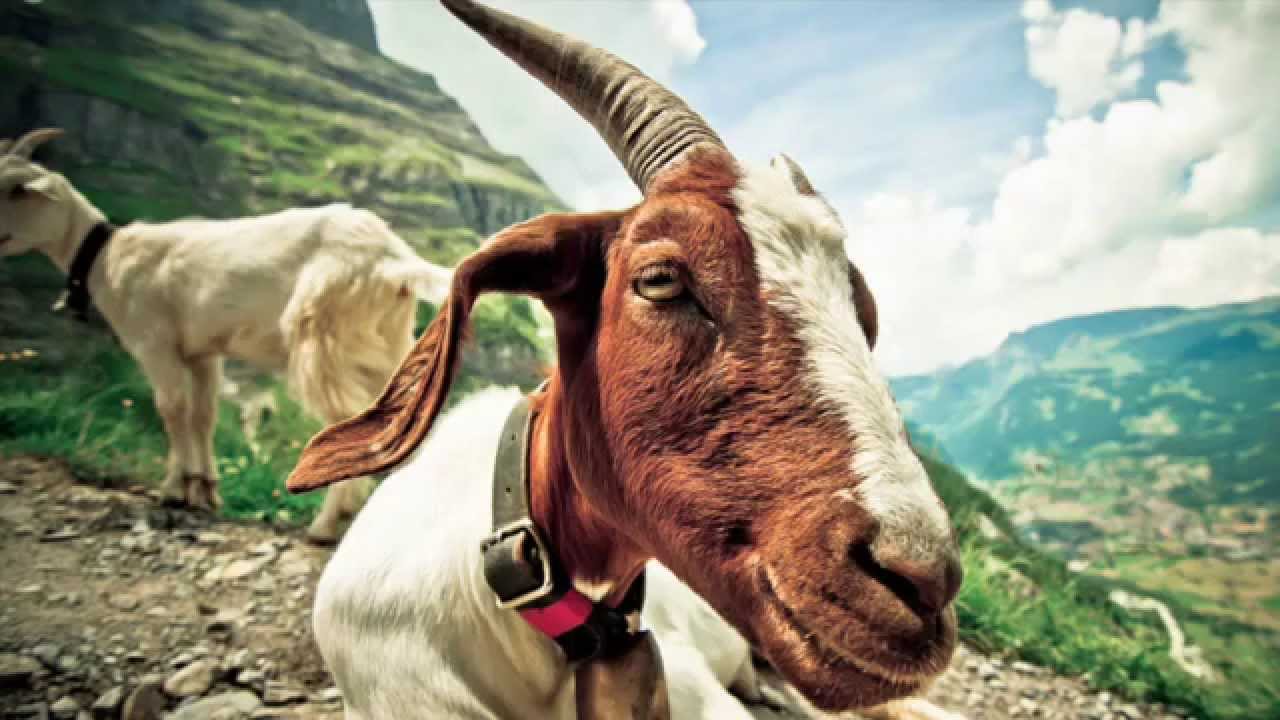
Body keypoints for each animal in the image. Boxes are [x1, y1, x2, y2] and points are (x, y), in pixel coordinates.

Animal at [0, 129, 450, 543]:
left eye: (13, 189)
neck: (106, 257)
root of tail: (392, 258)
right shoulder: (202, 352)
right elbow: (203, 415)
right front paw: (205, 492)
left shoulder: (154, 341)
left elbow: (171, 408)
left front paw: (173, 490)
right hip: (382, 343)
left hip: (321, 335)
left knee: (352, 421)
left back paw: (325, 524)